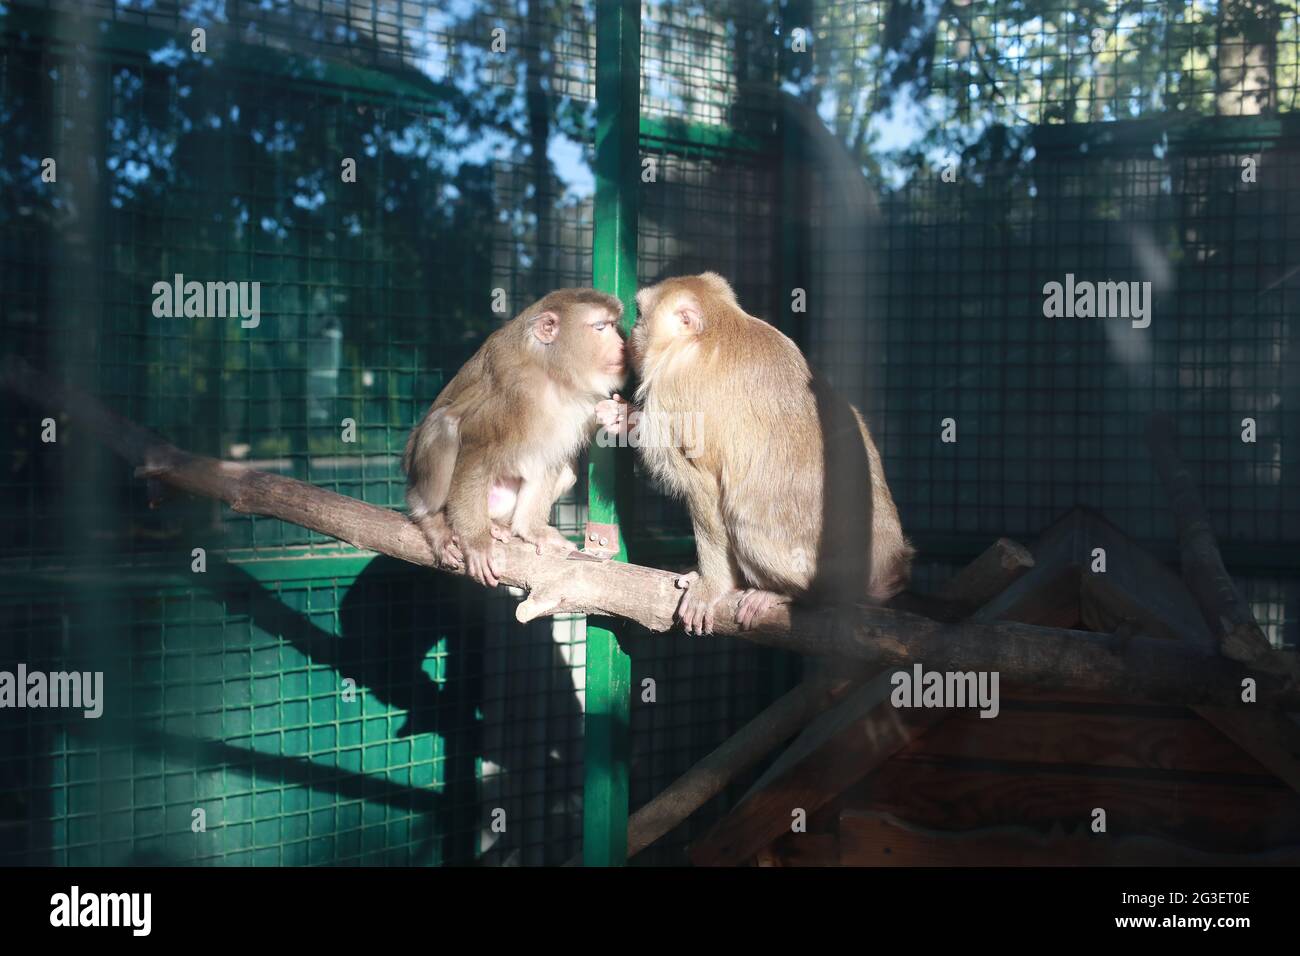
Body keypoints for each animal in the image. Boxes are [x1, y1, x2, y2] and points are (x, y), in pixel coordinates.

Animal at [403, 288, 626, 588]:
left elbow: (548, 457)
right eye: (601, 327)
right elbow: (475, 447)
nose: (622, 345)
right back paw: (433, 519)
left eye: (614, 325)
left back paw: (501, 526)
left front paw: (532, 530)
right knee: (445, 423)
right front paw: (475, 541)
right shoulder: (515, 392)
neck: (553, 373)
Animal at [619, 271, 913, 635]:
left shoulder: (673, 393)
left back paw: (786, 593)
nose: (631, 337)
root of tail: (889, 567)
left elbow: (704, 489)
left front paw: (712, 586)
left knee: (742, 517)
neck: (715, 328)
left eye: (640, 315)